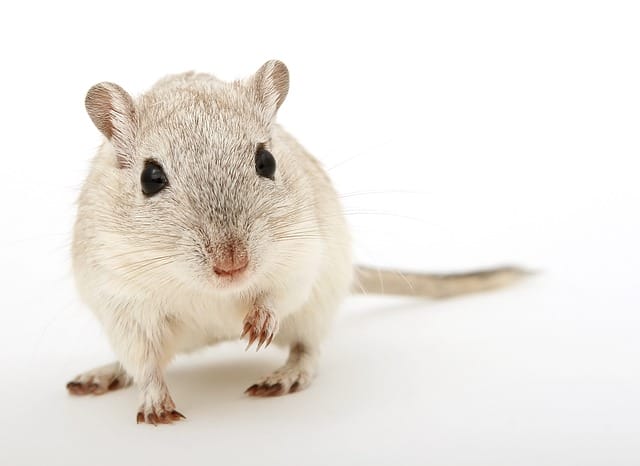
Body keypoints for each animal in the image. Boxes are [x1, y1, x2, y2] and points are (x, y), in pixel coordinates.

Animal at [66, 60, 527, 424]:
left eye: (266, 161)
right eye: (150, 178)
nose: (233, 265)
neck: (216, 292)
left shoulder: (302, 257)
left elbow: (279, 294)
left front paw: (257, 328)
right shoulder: (123, 300)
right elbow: (146, 366)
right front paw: (157, 411)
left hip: (319, 304)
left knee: (308, 350)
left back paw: (281, 379)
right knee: (138, 362)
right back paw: (98, 376)